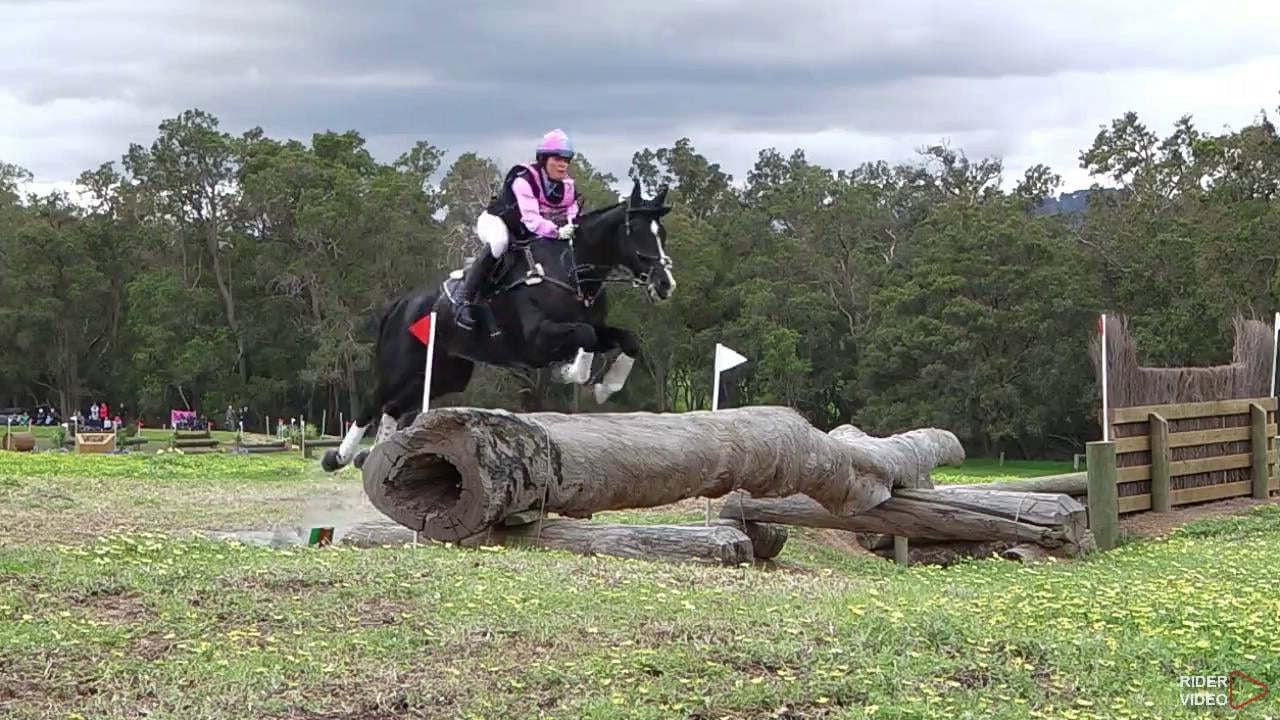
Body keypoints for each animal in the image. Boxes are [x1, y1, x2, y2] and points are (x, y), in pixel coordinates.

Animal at [320, 179, 676, 473]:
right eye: (636, 231)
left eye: (662, 233)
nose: (665, 284)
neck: (569, 270)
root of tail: (402, 303)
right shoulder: (538, 340)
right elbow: (585, 337)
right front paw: (572, 373)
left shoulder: (593, 330)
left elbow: (627, 340)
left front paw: (606, 388)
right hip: (401, 365)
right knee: (372, 401)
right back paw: (338, 457)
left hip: (448, 373)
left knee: (394, 406)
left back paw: (373, 454)